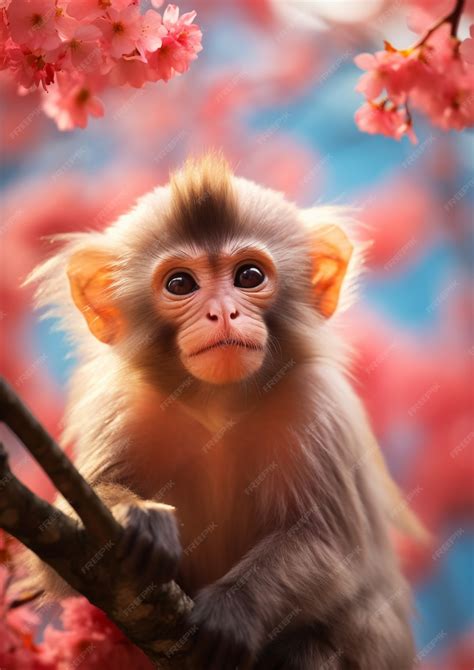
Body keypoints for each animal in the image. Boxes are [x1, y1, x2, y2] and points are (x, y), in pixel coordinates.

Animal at [23, 153, 425, 669]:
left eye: (249, 276)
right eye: (180, 284)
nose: (222, 313)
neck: (218, 405)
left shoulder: (315, 405)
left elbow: (335, 549)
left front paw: (233, 610)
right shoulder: (121, 407)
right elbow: (59, 558)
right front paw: (141, 517)